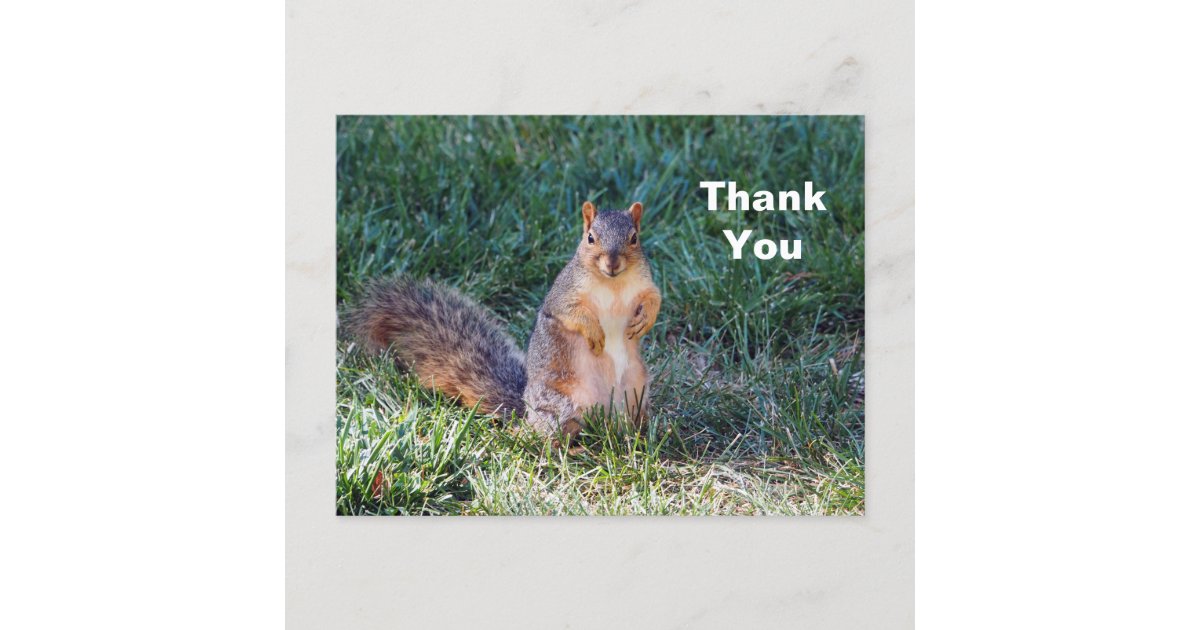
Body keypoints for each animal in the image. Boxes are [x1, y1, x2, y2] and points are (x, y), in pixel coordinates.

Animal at [345, 201, 662, 440]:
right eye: (591, 238)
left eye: (634, 238)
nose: (613, 264)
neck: (613, 284)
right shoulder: (564, 294)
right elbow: (570, 313)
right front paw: (594, 332)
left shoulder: (644, 284)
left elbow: (654, 298)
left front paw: (645, 320)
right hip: (563, 406)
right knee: (545, 437)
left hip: (636, 391)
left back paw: (640, 435)